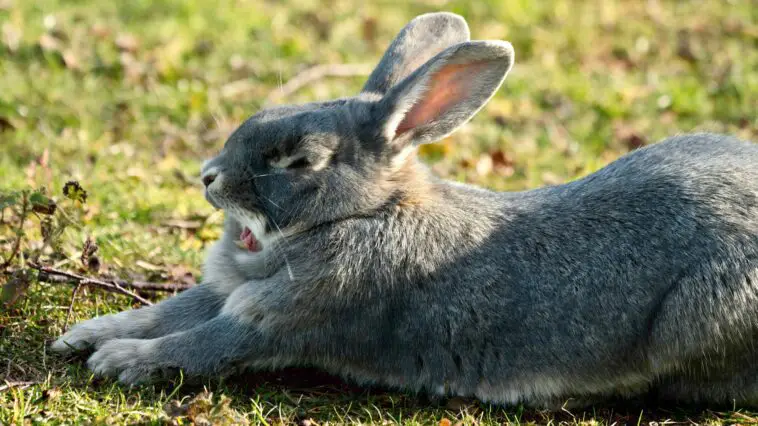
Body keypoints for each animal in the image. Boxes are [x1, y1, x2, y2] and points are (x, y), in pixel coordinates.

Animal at [52, 12, 758, 409]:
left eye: (300, 160)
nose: (209, 178)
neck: (360, 215)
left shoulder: (280, 320)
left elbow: (201, 342)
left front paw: (120, 361)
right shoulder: (230, 291)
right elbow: (169, 309)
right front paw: (86, 334)